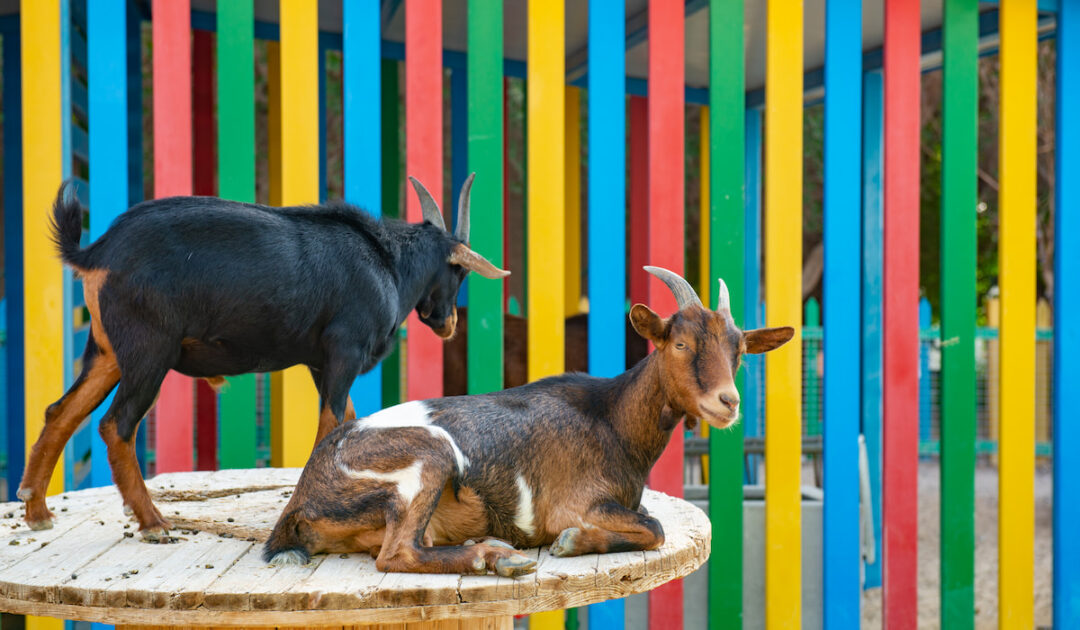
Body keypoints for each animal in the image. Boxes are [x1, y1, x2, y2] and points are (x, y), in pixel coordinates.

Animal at [18, 175, 508, 539]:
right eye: (458, 270)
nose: (446, 323)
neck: (385, 261)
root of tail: (96, 252)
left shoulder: (320, 363)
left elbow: (346, 422)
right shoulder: (343, 351)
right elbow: (331, 423)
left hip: (106, 353)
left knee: (61, 412)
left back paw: (37, 510)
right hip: (148, 352)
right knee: (115, 425)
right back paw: (153, 523)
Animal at [263, 267, 793, 576]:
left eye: (740, 351)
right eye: (680, 344)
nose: (728, 402)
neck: (612, 420)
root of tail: (303, 493)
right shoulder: (574, 502)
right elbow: (655, 527)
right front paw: (572, 541)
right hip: (427, 455)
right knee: (396, 554)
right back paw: (494, 556)